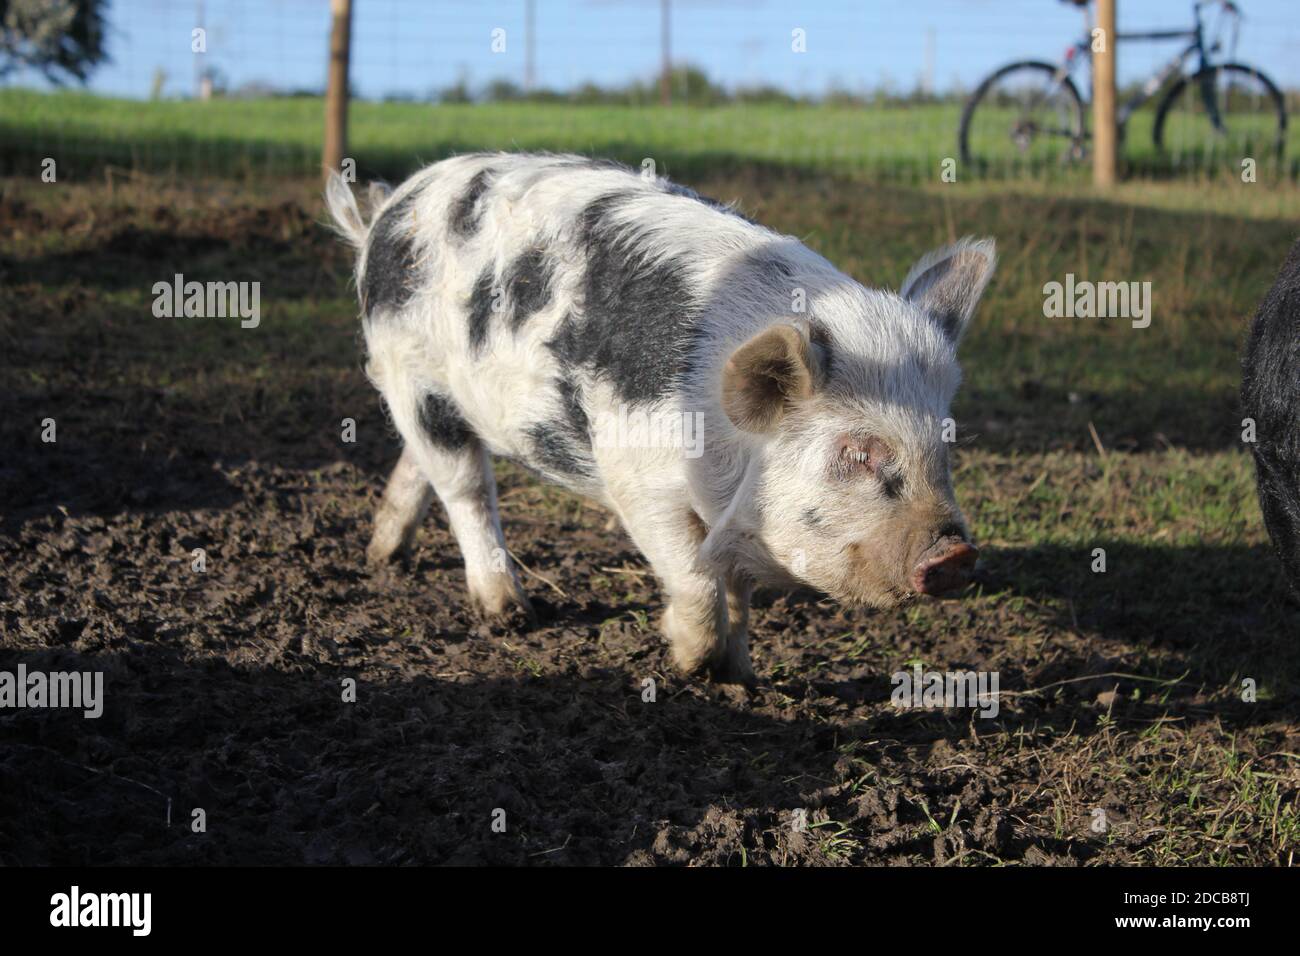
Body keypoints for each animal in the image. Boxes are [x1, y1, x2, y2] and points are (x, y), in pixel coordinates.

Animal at [325, 153, 995, 684]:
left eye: (945, 445)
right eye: (856, 453)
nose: (956, 553)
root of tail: (388, 212)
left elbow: (735, 589)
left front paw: (741, 674)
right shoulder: (639, 480)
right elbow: (694, 576)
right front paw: (692, 663)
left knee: (422, 464)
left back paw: (383, 556)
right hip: (411, 372)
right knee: (464, 485)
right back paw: (510, 614)